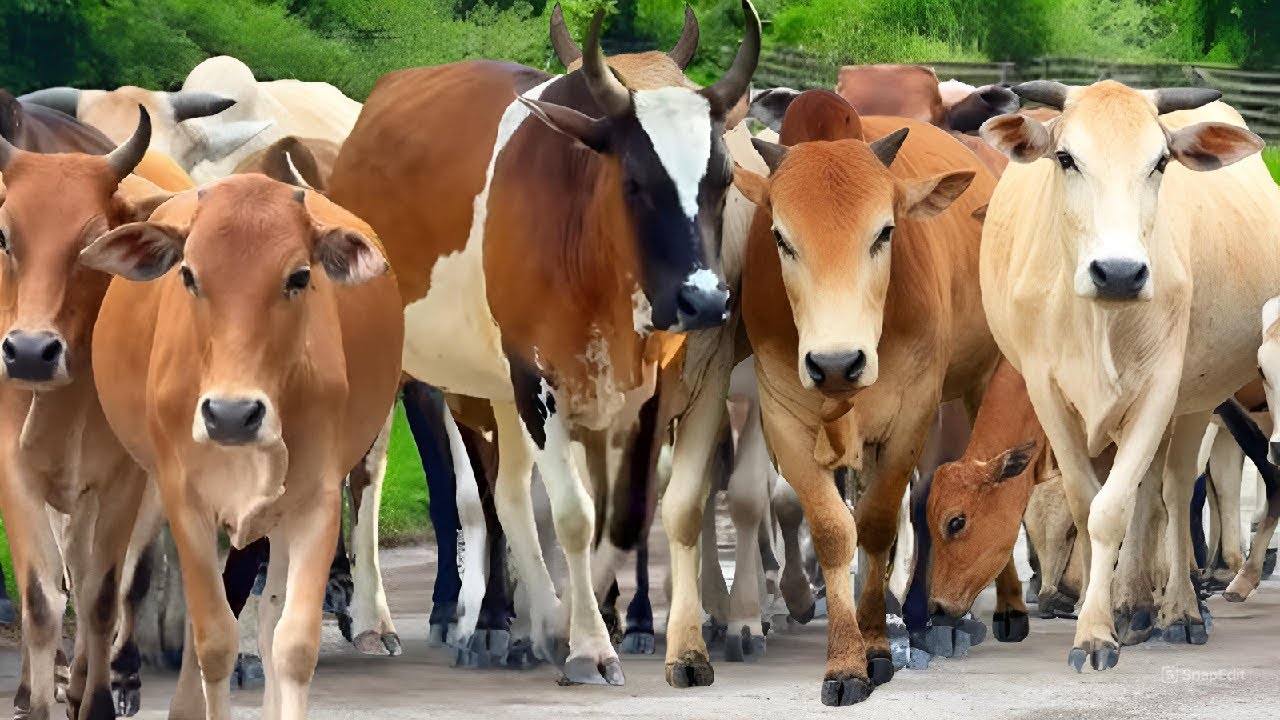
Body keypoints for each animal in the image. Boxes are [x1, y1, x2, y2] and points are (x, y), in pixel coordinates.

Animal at [0, 109, 174, 720]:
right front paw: (38, 701)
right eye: (4, 237)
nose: (29, 352)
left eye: (93, 241)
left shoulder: (123, 479)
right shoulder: (14, 472)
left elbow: (102, 593)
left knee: (105, 575)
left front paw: (96, 699)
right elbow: (41, 597)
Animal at [83, 172, 402, 719]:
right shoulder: (186, 502)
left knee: (270, 616)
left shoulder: (316, 504)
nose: (231, 414)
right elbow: (213, 640)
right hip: (149, 485)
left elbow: (293, 644)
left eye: (299, 276)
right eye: (189, 274)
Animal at [328, 1, 760, 686]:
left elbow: (625, 515)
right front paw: (585, 643)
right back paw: (399, 621)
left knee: (506, 496)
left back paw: (523, 624)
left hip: (494, 383)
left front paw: (570, 622)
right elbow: (573, 515)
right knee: (384, 478)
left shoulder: (646, 391)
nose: (705, 300)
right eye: (634, 181)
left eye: (721, 178)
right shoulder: (536, 379)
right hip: (415, 371)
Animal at [732, 88, 996, 704]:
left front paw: (878, 646)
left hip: (975, 383)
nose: (836, 362)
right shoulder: (784, 418)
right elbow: (835, 530)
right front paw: (847, 661)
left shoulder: (914, 413)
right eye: (780, 237)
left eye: (885, 232)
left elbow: (879, 522)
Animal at [978, 80, 1275, 671]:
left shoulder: (1161, 391)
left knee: (1174, 489)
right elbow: (1085, 500)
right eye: (1066, 158)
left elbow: (1114, 509)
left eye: (1159, 162)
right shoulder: (1046, 393)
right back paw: (1133, 603)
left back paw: (1178, 608)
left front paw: (1097, 632)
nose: (1118, 272)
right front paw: (1099, 616)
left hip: (1197, 400)